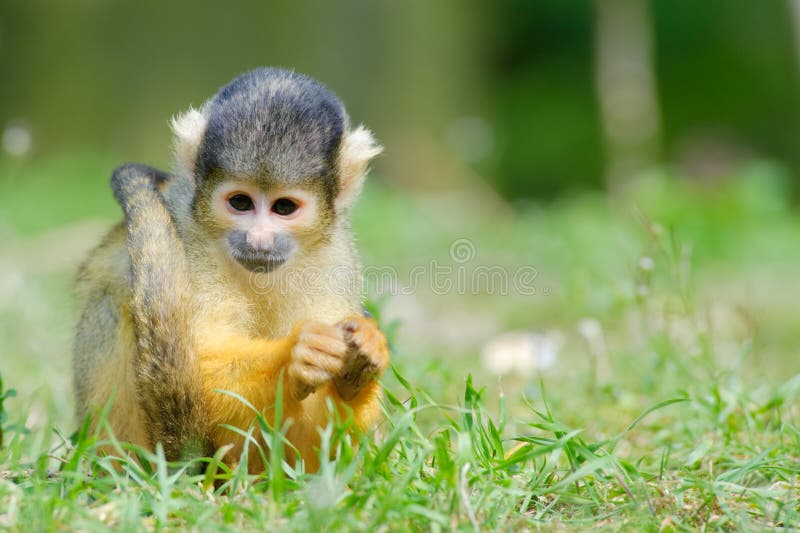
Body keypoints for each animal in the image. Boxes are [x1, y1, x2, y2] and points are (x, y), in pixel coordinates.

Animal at [73, 67, 389, 472]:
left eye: (284, 207)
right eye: (240, 202)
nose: (258, 240)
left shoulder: (334, 257)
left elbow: (311, 455)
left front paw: (358, 370)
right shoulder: (188, 234)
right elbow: (205, 368)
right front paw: (296, 353)